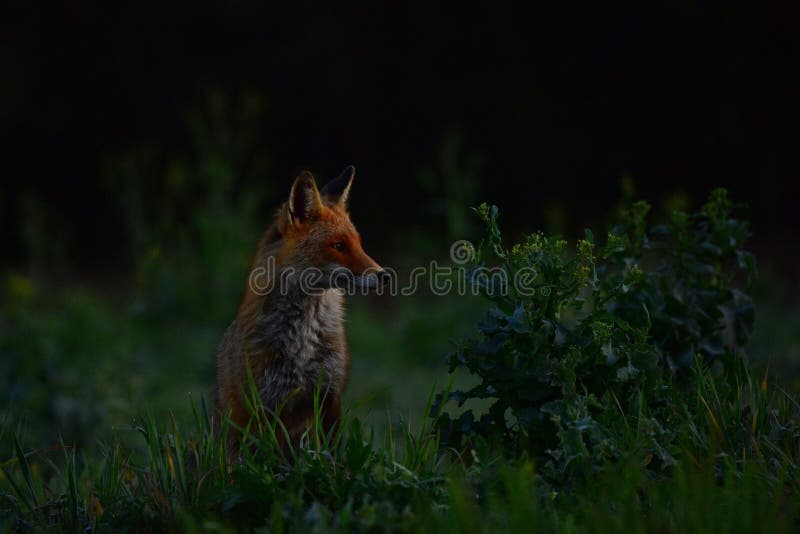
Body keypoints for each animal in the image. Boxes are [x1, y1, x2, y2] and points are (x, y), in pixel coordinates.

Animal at [214, 165, 389, 452]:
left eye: (359, 243)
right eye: (339, 246)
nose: (384, 275)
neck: (303, 336)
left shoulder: (329, 395)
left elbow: (331, 452)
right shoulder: (264, 405)